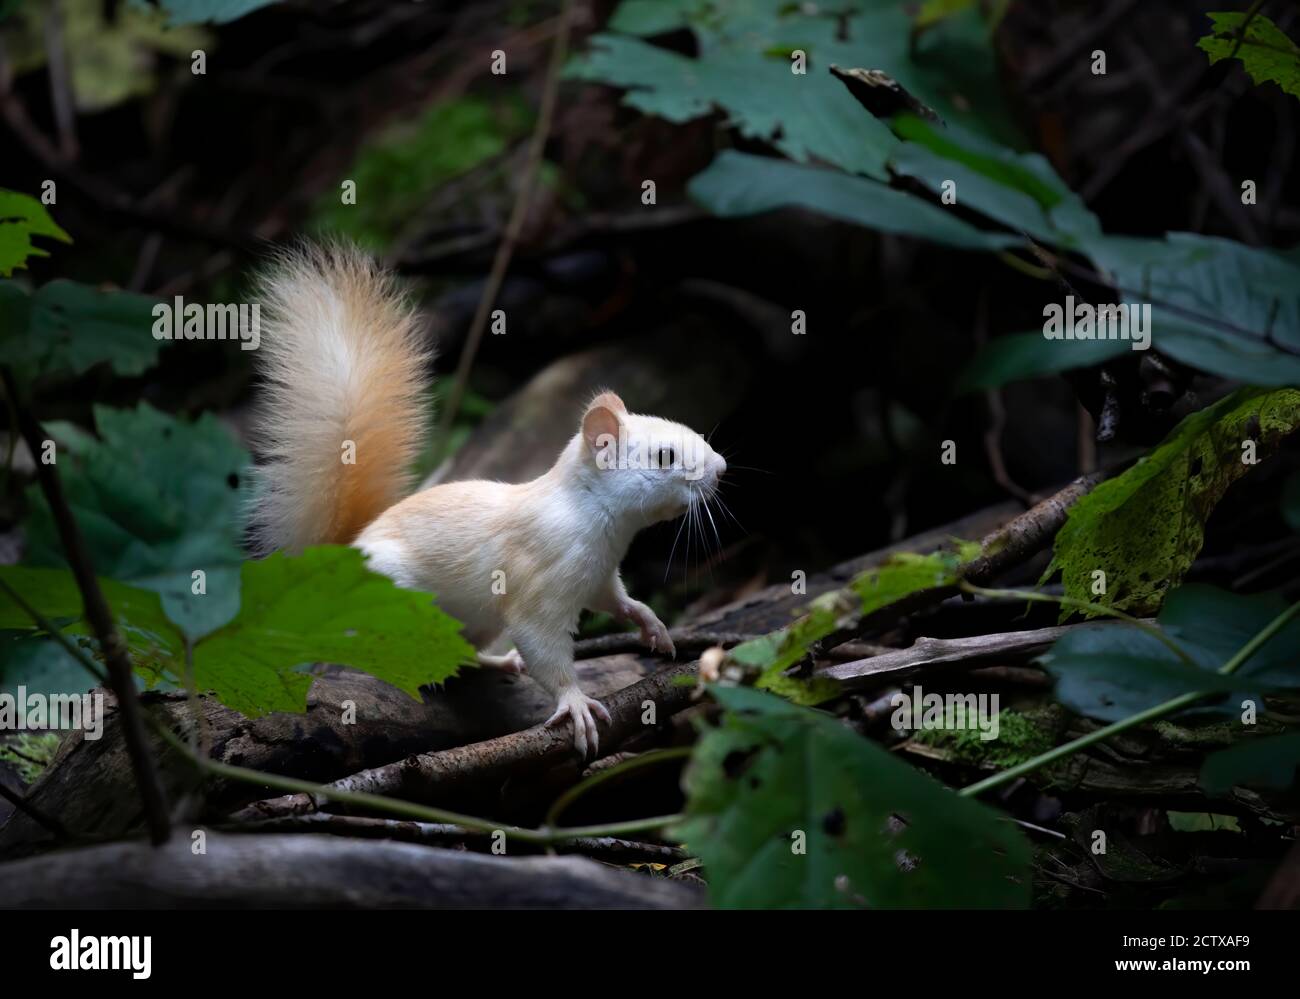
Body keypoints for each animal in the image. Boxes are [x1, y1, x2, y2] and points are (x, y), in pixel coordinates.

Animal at [246, 242, 727, 756]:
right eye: (665, 455)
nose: (721, 467)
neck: (598, 520)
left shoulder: (599, 576)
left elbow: (617, 601)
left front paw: (651, 624)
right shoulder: (538, 582)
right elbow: (545, 648)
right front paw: (575, 702)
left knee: (468, 653)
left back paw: (495, 664)